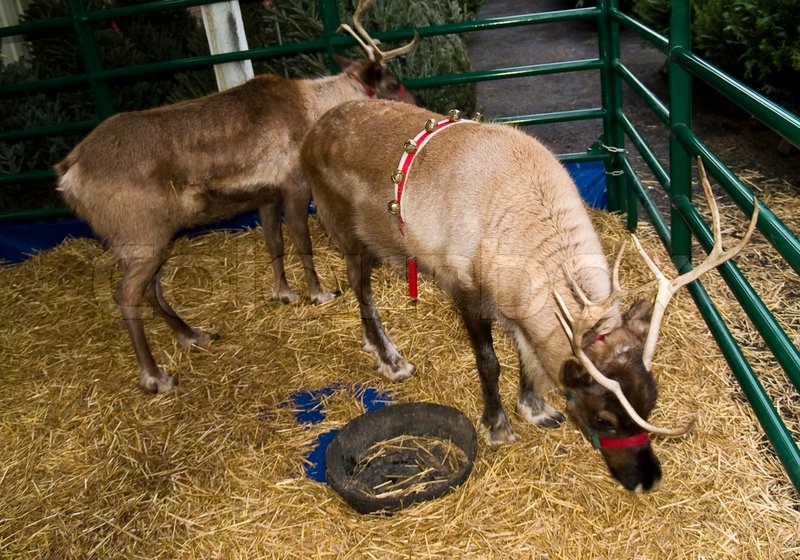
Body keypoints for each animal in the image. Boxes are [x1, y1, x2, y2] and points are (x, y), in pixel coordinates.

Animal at [56, 0, 419, 394]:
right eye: (393, 83)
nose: (419, 103)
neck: (315, 106)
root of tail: (69, 174)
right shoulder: (295, 185)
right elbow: (301, 240)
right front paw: (318, 293)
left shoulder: (266, 195)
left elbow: (274, 242)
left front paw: (284, 293)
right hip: (142, 232)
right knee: (127, 294)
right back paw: (156, 376)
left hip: (137, 240)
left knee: (151, 289)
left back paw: (193, 335)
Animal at [300, 99, 759, 492]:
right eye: (605, 420)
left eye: (651, 404)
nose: (647, 481)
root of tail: (313, 131)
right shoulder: (466, 292)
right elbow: (490, 364)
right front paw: (498, 425)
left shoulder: (519, 307)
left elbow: (527, 355)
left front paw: (535, 407)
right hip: (348, 234)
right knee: (360, 290)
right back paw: (391, 358)